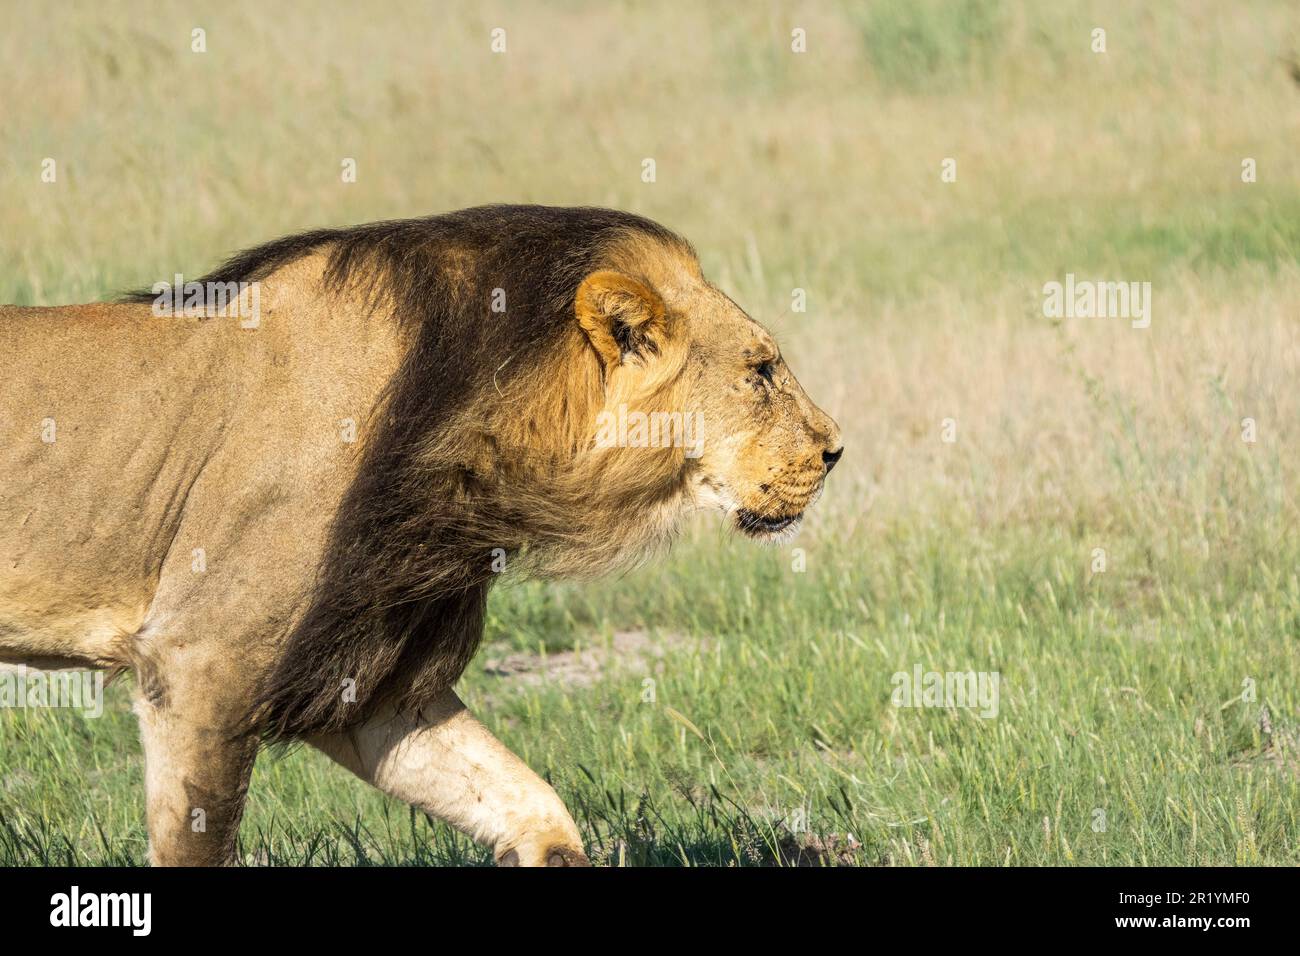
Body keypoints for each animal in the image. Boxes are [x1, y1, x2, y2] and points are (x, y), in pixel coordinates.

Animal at [0, 205, 842, 866]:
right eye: (761, 371)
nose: (836, 449)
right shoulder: (202, 657)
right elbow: (196, 842)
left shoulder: (372, 685)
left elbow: (530, 805)